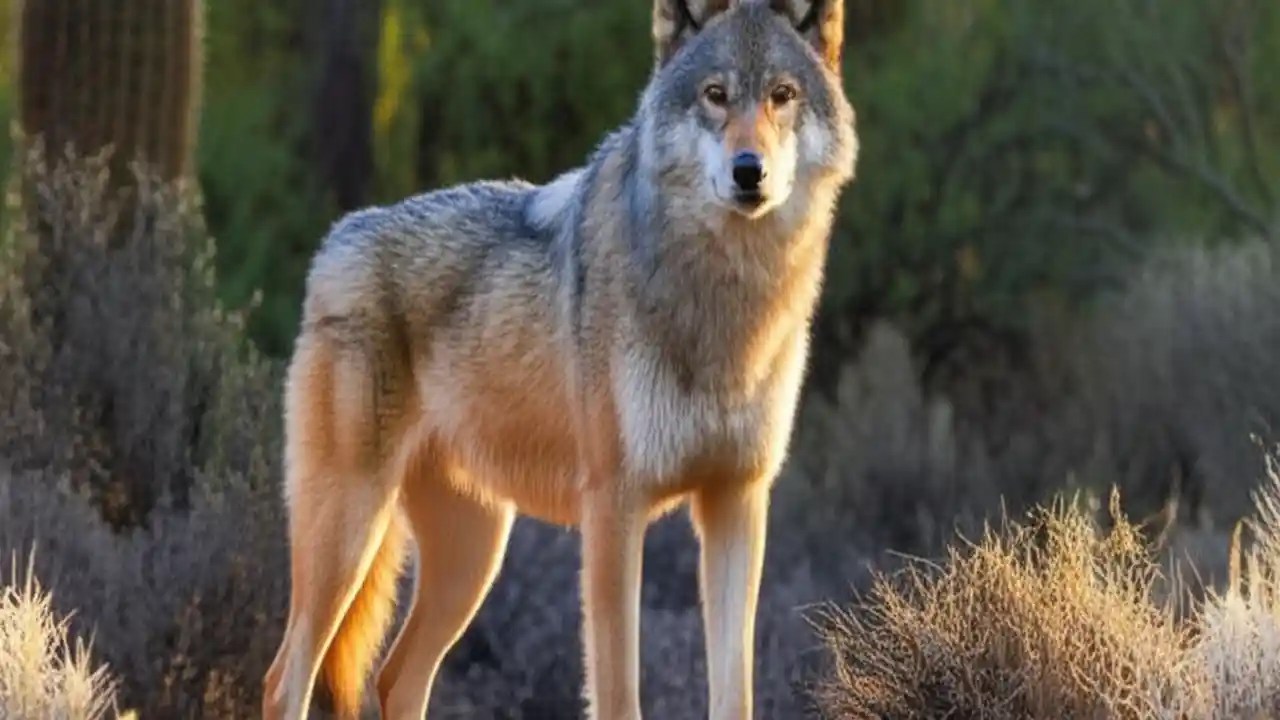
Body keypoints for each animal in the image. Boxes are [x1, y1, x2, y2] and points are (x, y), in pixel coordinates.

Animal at [262, 0, 857, 717]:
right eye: (715, 95)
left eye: (782, 95)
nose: (750, 170)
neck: (724, 305)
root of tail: (337, 239)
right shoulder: (613, 510)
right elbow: (619, 692)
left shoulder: (737, 501)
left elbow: (734, 693)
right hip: (351, 534)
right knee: (285, 679)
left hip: (472, 557)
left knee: (394, 679)